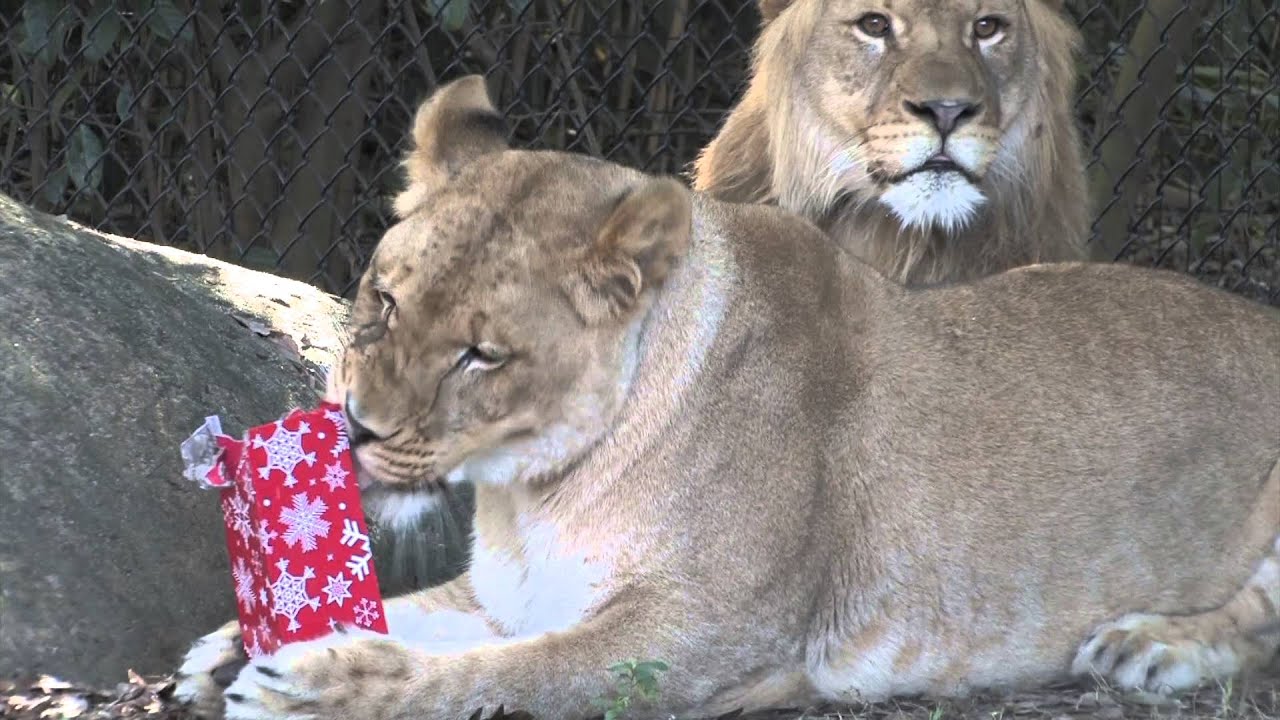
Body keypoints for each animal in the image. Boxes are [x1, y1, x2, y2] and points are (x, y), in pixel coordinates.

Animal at [172, 76, 1280, 720]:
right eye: (384, 299)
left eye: (481, 355)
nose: (355, 429)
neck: (533, 491)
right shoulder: (505, 595)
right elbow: (416, 617)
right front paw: (229, 647)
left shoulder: (700, 641)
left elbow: (509, 677)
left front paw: (323, 685)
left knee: (1261, 628)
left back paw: (1148, 648)